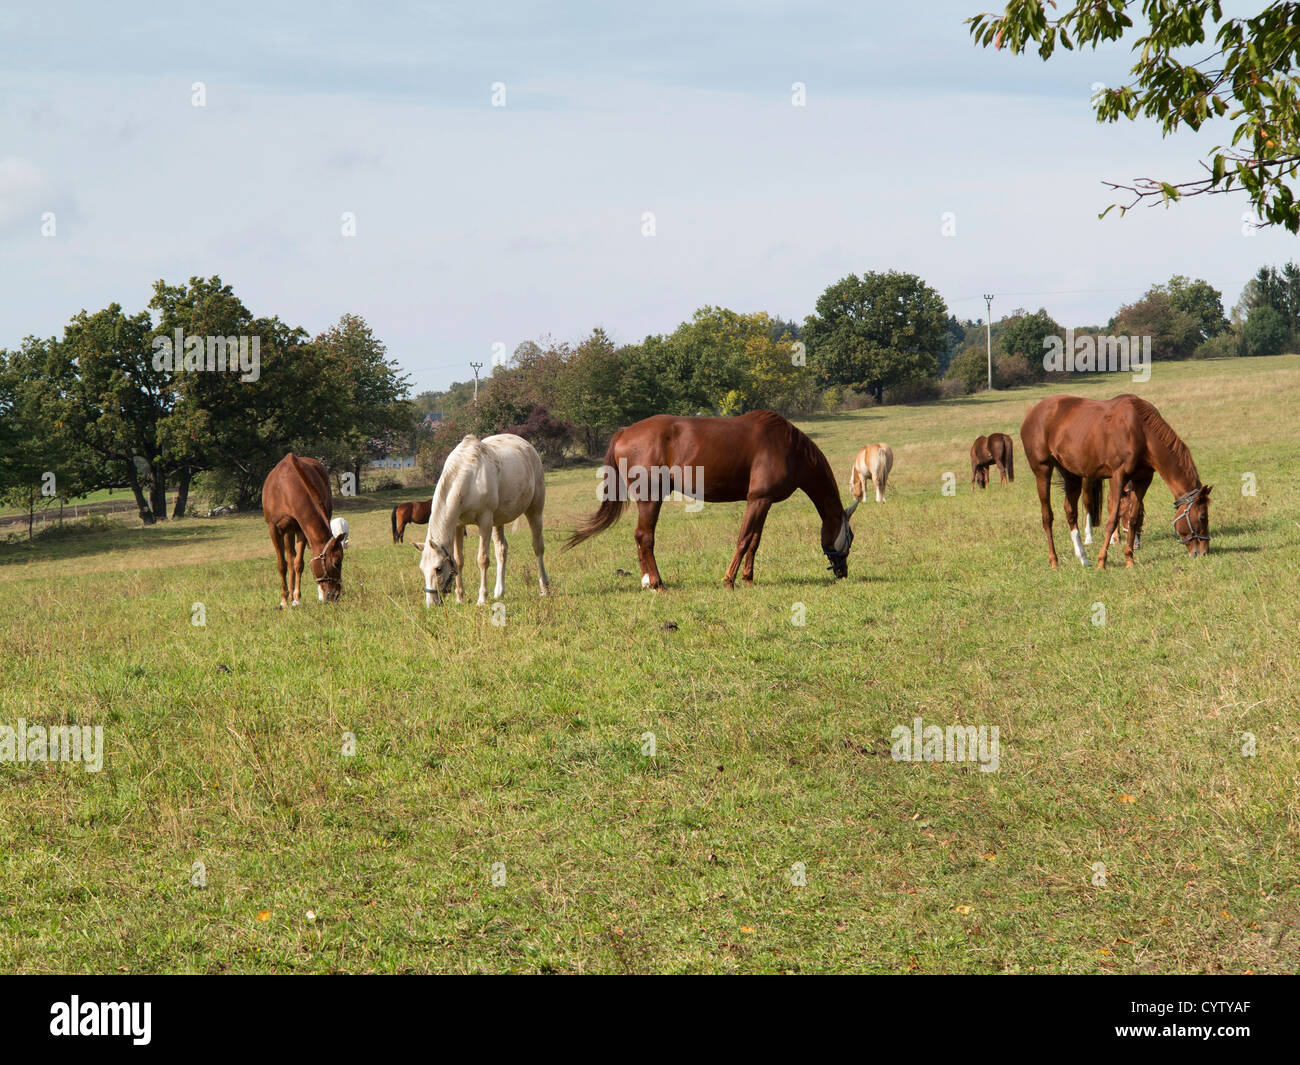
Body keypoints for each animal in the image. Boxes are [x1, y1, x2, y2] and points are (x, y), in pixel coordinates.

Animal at [262, 453, 350, 607]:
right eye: (336, 562)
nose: (336, 594)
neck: (285, 489)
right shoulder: (274, 529)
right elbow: (282, 565)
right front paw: (283, 600)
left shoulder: (301, 528)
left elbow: (298, 564)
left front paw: (297, 599)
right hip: (287, 531)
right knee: (289, 557)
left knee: (293, 559)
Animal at [413, 433, 549, 606]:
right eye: (422, 568)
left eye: (438, 568)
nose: (431, 603)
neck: (470, 479)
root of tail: (527, 446)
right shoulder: (459, 525)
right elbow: (459, 560)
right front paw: (460, 598)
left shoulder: (485, 522)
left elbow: (482, 560)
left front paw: (482, 599)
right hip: (498, 521)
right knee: (501, 550)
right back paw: (499, 592)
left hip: (534, 510)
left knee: (538, 547)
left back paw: (545, 588)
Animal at [565, 410, 856, 589]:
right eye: (850, 537)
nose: (843, 572)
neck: (789, 448)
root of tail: (624, 432)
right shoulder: (757, 500)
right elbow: (743, 540)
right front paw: (729, 580)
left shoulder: (765, 502)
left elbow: (755, 541)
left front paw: (748, 579)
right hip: (650, 498)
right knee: (644, 537)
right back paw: (657, 584)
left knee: (640, 538)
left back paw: (648, 581)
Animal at [1020, 394, 1211, 569]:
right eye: (1202, 516)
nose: (1204, 552)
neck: (1140, 431)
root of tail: (1032, 413)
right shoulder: (1118, 477)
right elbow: (1112, 519)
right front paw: (1102, 561)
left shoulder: (1142, 480)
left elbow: (1133, 518)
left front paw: (1129, 559)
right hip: (1043, 471)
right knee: (1047, 516)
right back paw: (1054, 561)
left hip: (1071, 474)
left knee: (1070, 512)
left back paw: (1083, 558)